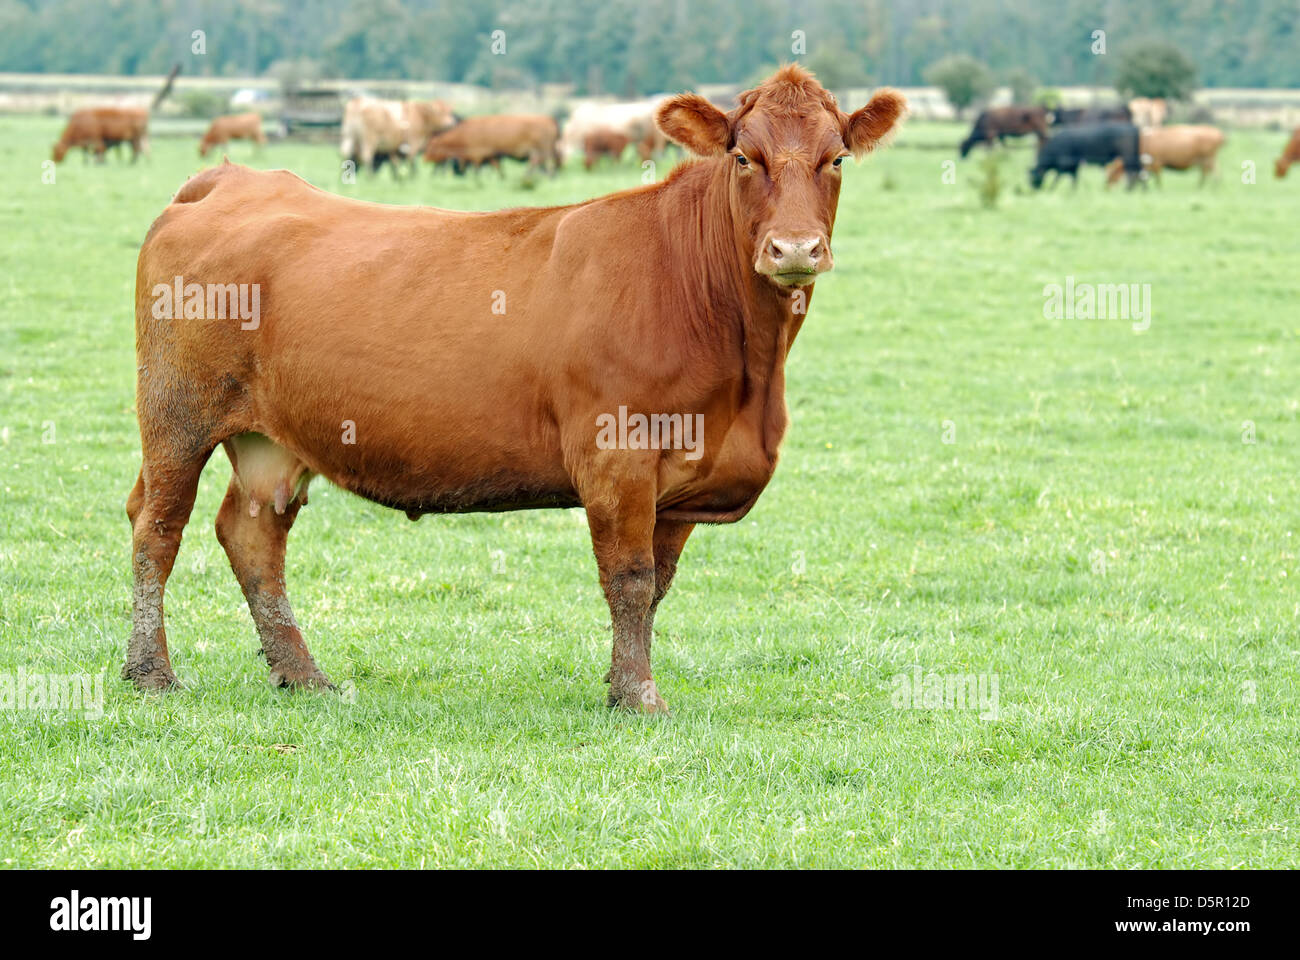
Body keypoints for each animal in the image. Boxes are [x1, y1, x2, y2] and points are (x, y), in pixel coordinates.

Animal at [423, 114, 561, 177]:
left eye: (431, 146)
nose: (425, 158)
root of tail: (550, 119)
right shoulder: (490, 155)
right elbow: (494, 166)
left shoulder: (480, 154)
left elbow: (481, 168)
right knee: (541, 163)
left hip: (543, 149)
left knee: (540, 162)